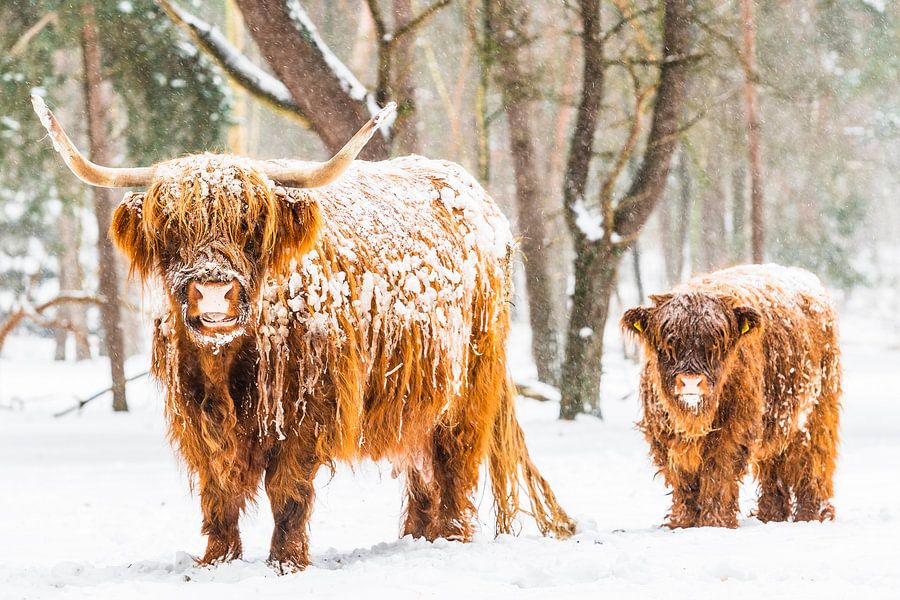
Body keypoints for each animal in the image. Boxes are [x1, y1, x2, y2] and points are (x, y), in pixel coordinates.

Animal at [33, 96, 574, 571]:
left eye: (251, 225)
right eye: (170, 228)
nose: (213, 293)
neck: (226, 364)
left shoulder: (310, 410)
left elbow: (288, 491)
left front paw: (286, 563)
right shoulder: (197, 416)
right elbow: (218, 494)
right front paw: (217, 561)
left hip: (469, 388)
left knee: (454, 464)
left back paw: (450, 539)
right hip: (415, 399)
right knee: (422, 471)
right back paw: (419, 537)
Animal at [621, 264, 841, 529]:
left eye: (715, 344)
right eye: (669, 342)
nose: (691, 382)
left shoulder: (732, 433)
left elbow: (718, 475)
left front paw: (715, 523)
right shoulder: (664, 436)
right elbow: (684, 482)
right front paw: (682, 523)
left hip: (816, 413)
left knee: (813, 462)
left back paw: (812, 515)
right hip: (778, 421)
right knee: (774, 468)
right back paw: (770, 516)